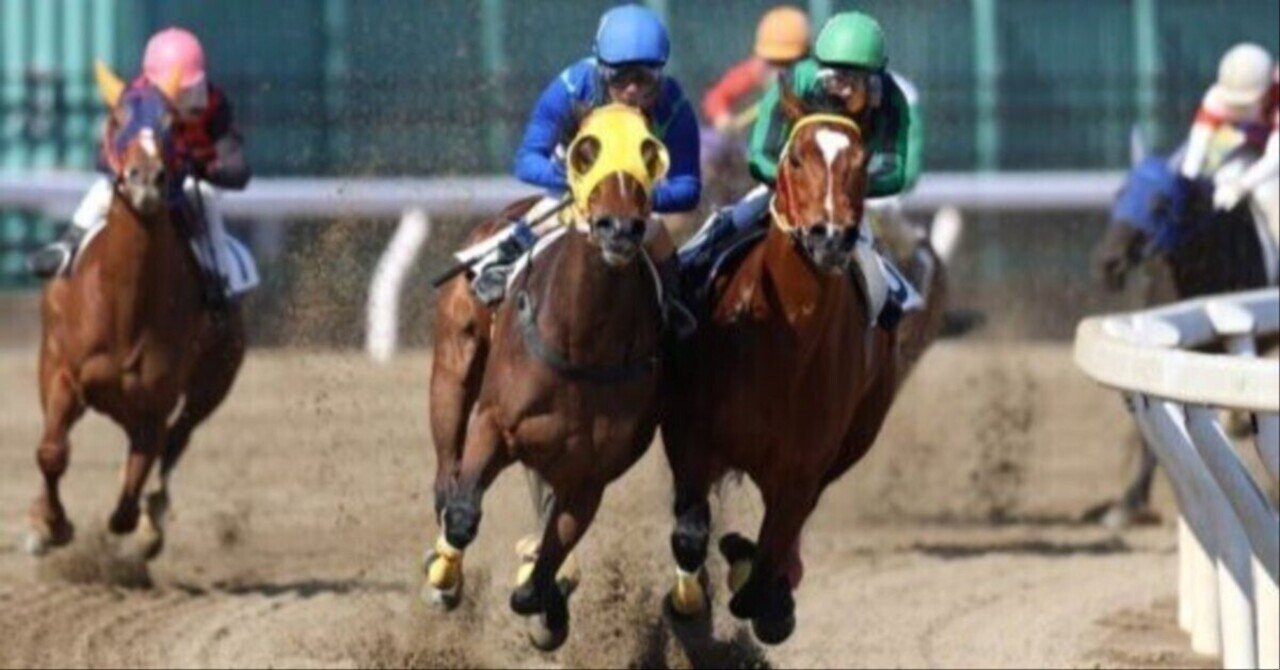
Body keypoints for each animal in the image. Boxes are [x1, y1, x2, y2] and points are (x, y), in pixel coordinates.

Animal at [25, 63, 246, 561]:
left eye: (171, 124)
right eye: (117, 116)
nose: (146, 178)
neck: (122, 306)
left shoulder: (153, 402)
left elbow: (134, 485)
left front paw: (139, 526)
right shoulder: (61, 370)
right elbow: (51, 452)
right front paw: (49, 524)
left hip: (215, 382)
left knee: (178, 437)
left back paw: (152, 517)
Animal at [424, 104, 671, 651]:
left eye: (650, 152)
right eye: (585, 150)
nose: (619, 228)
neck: (582, 342)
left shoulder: (590, 471)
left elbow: (553, 550)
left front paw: (545, 602)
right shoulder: (496, 424)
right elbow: (465, 514)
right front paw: (445, 577)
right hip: (456, 355)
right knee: (448, 474)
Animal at [660, 88, 950, 645]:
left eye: (861, 160)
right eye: (795, 157)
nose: (829, 236)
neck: (784, 339)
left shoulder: (801, 468)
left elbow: (768, 560)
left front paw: (766, 593)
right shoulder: (690, 436)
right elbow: (690, 532)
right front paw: (689, 602)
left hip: (851, 443)